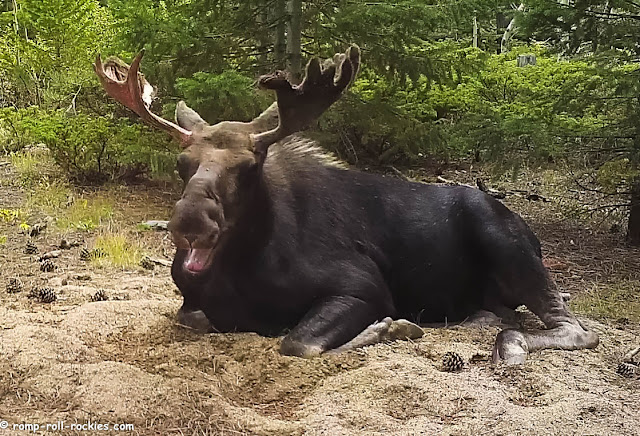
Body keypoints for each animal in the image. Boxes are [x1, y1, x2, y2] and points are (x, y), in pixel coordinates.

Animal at [94, 45, 598, 364]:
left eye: (250, 166)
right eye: (183, 163)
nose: (189, 224)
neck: (242, 267)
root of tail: (529, 230)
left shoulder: (363, 287)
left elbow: (296, 343)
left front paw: (391, 328)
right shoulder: (191, 302)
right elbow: (192, 318)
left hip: (508, 245)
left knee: (576, 327)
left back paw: (509, 343)